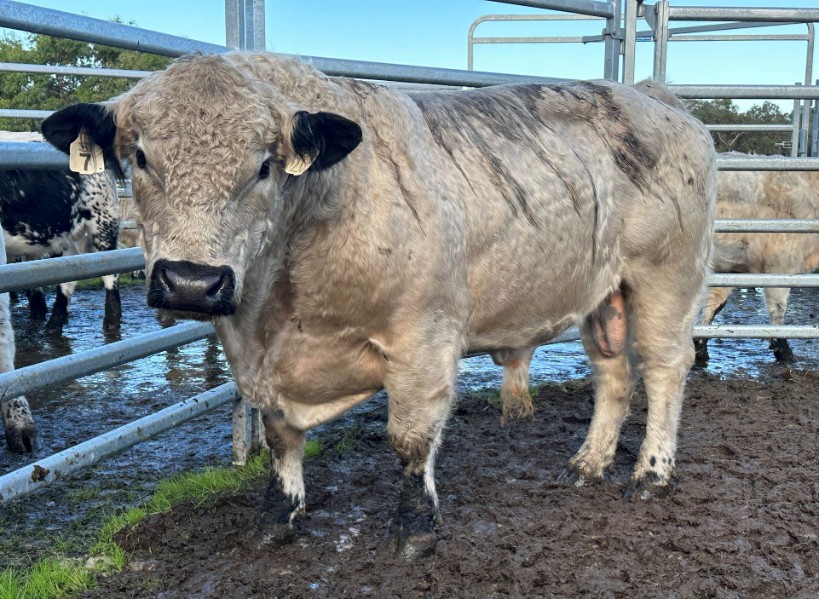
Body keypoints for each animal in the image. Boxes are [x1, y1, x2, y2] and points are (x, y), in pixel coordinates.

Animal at [0, 133, 122, 333]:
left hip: (103, 220)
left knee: (110, 271)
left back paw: (111, 323)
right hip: (59, 235)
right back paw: (52, 322)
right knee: (66, 271)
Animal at [41, 52, 716, 557]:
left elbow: (411, 439)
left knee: (664, 368)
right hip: (601, 296)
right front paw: (278, 516)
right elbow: (277, 434)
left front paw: (415, 528)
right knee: (613, 376)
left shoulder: (424, 340)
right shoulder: (254, 355)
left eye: (264, 166)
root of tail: (654, 96)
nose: (189, 282)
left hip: (666, 278)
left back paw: (651, 473)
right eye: (140, 156)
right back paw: (588, 463)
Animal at [695, 161, 819, 364]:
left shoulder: (729, 267)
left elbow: (714, 304)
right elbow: (779, 308)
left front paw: (700, 348)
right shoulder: (781, 263)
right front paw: (784, 351)